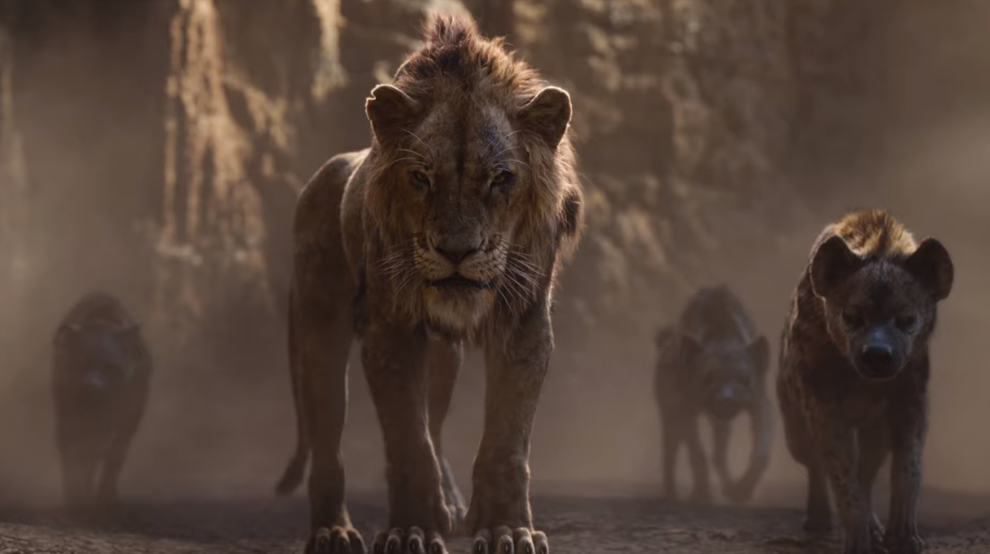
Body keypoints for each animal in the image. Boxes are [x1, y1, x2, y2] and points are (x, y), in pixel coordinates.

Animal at [274, 15, 583, 554]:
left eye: (500, 179)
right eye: (420, 178)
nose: (457, 252)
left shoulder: (524, 324)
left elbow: (505, 440)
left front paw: (506, 529)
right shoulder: (391, 331)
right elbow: (407, 441)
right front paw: (411, 529)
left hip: (443, 359)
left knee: (435, 424)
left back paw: (452, 505)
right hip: (319, 331)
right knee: (328, 439)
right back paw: (333, 531)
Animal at [777, 210, 953, 554]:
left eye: (907, 319)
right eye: (851, 317)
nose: (877, 354)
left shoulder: (910, 395)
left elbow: (907, 466)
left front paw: (903, 536)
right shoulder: (821, 405)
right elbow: (842, 476)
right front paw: (857, 541)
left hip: (875, 429)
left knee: (868, 469)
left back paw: (874, 527)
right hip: (794, 423)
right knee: (813, 462)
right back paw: (819, 520)